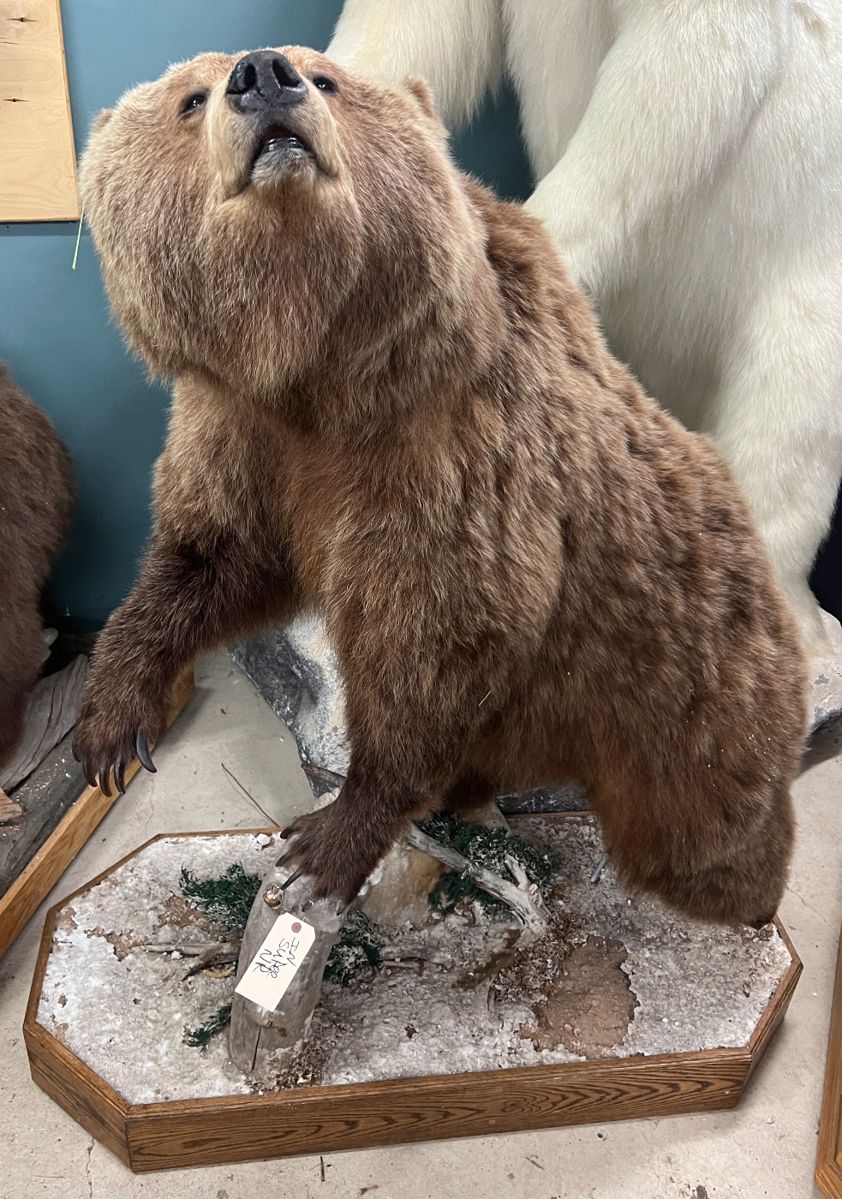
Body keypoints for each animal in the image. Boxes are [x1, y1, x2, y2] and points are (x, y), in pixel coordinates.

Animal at [74, 45, 807, 926]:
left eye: (329, 78)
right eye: (189, 98)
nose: (264, 72)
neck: (315, 368)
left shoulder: (451, 453)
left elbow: (439, 638)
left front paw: (326, 841)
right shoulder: (238, 427)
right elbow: (213, 557)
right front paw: (111, 722)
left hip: (688, 686)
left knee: (699, 819)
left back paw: (743, 901)